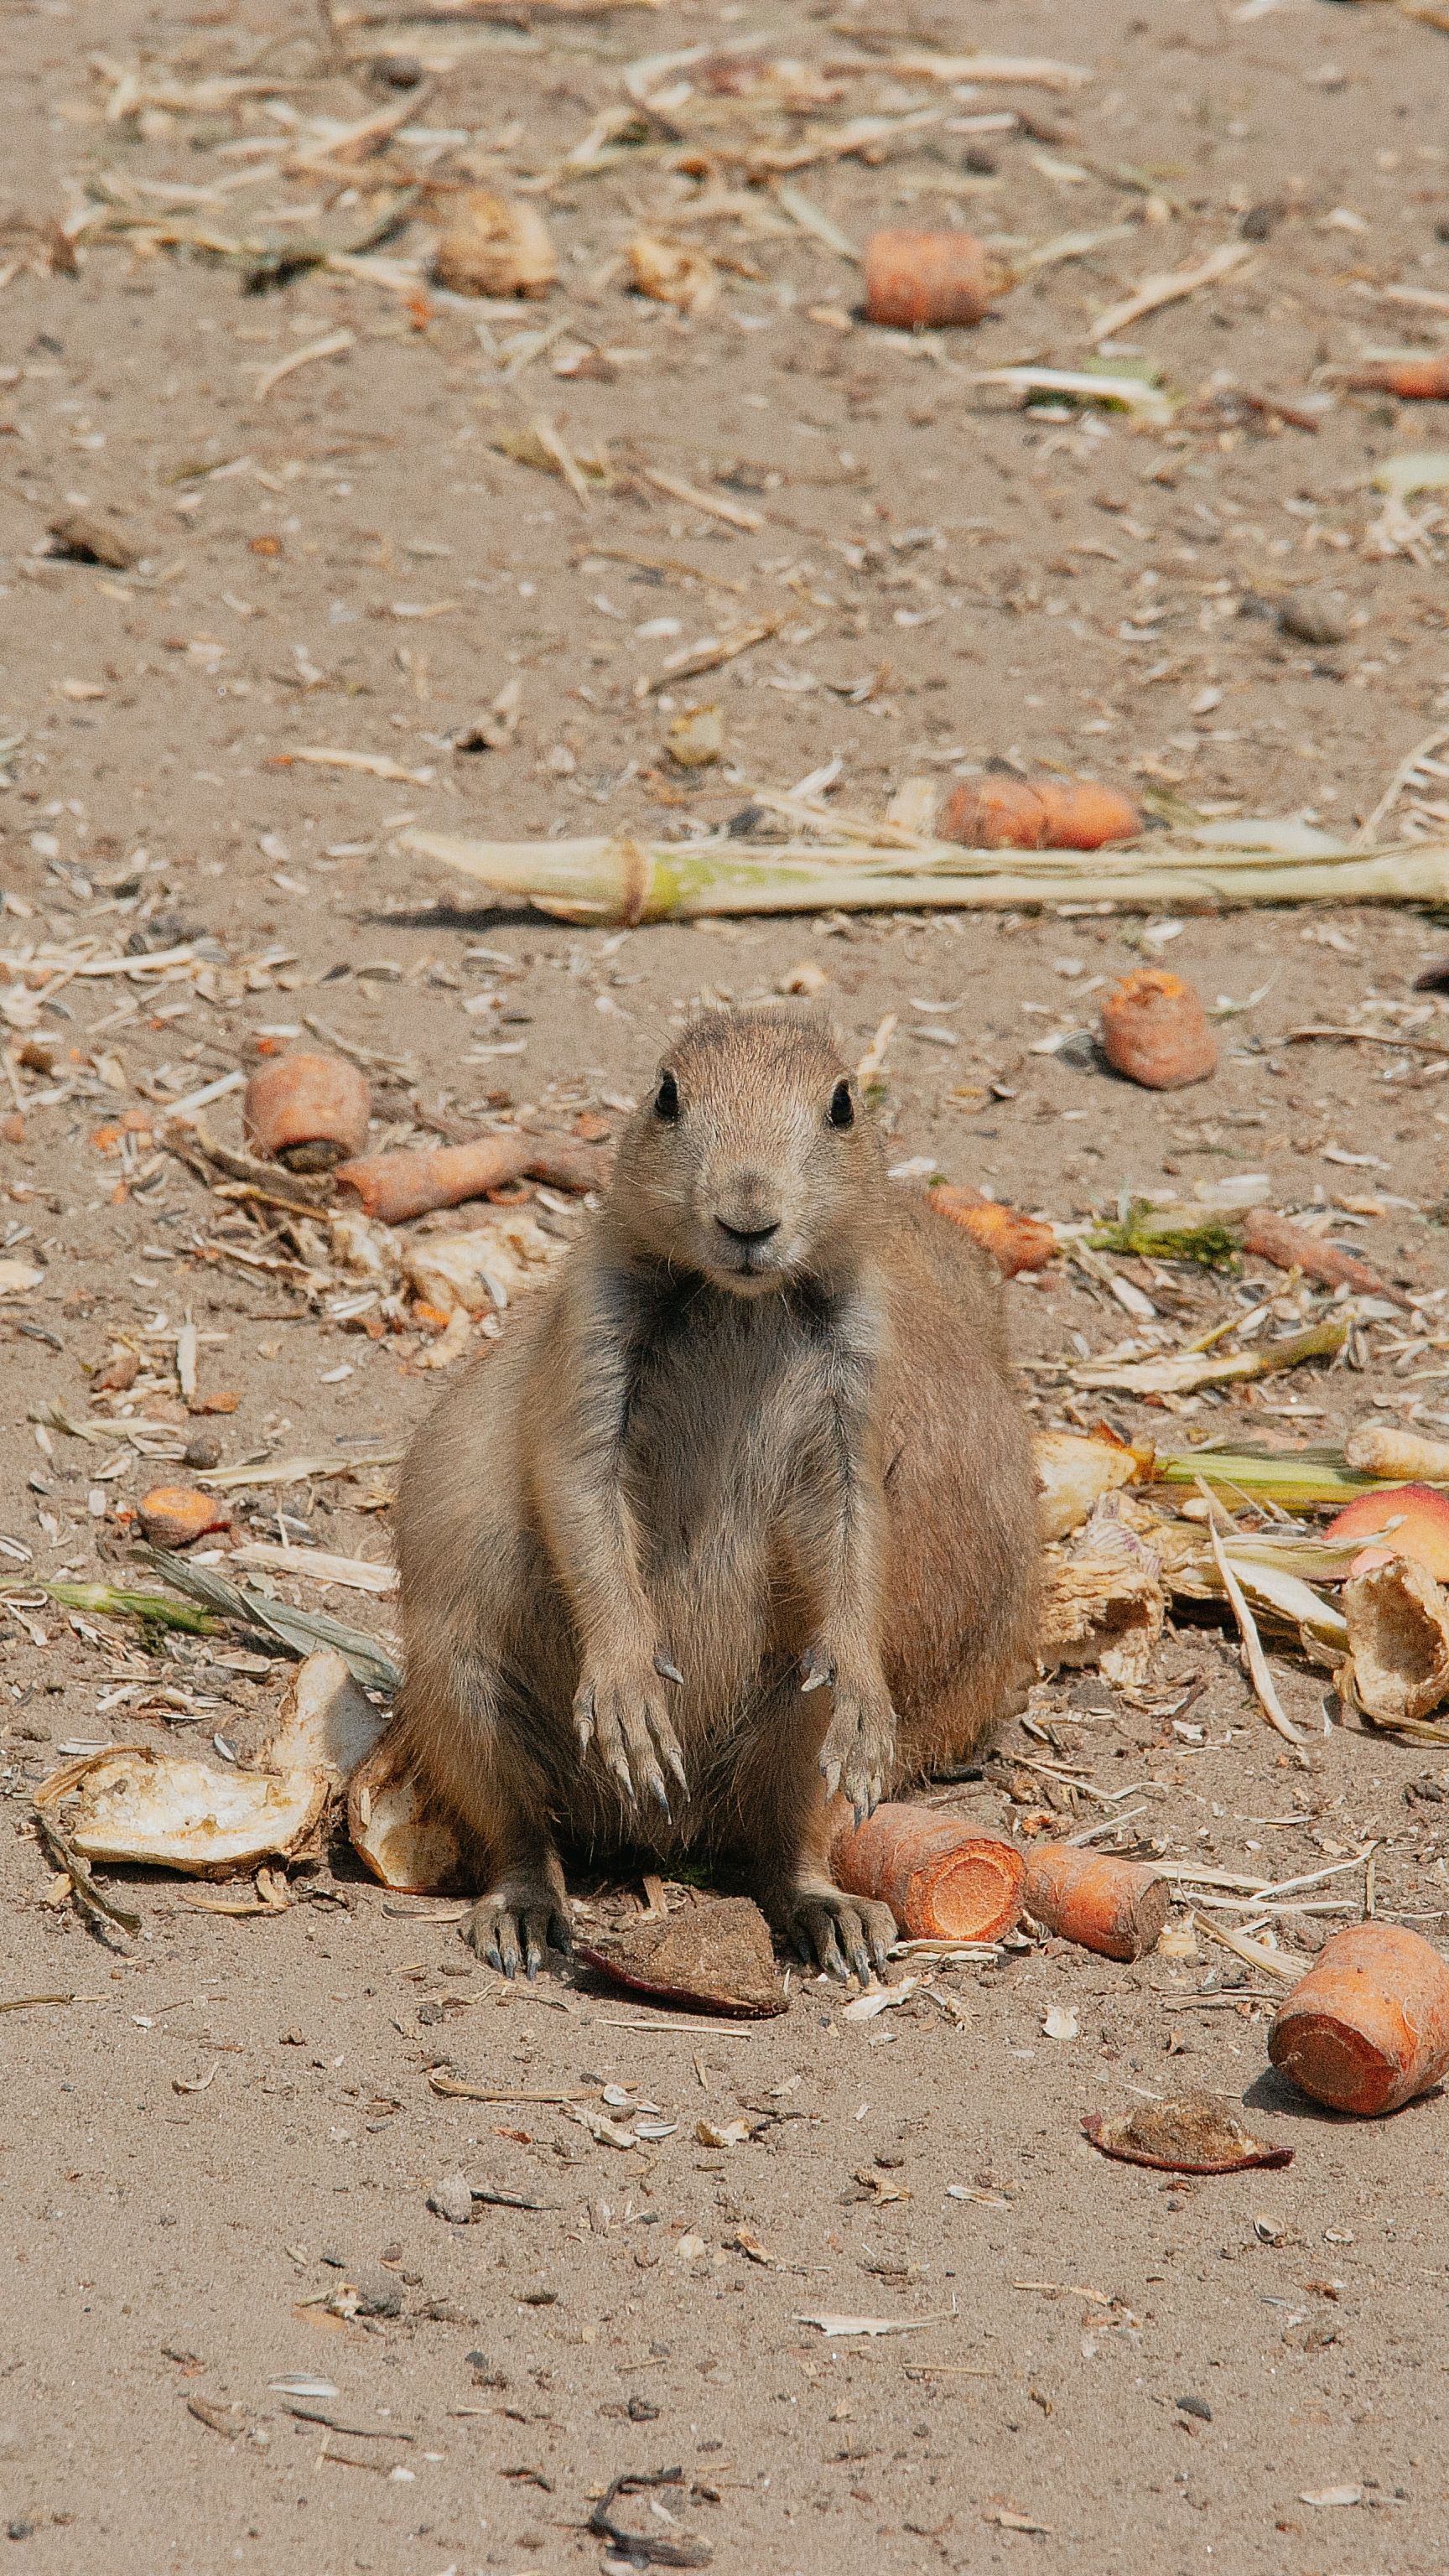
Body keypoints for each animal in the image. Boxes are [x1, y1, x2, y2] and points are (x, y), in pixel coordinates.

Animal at [393, 1005, 1040, 1981]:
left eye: (843, 1104)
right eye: (667, 1095)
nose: (747, 1217)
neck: (740, 1301)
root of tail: (660, 1832)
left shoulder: (858, 1381)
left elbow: (855, 1520)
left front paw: (866, 1699)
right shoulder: (593, 1333)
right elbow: (578, 1487)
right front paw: (630, 1690)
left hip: (793, 1727)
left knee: (780, 1845)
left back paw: (834, 1917)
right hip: (461, 1688)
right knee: (519, 1833)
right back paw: (525, 1918)